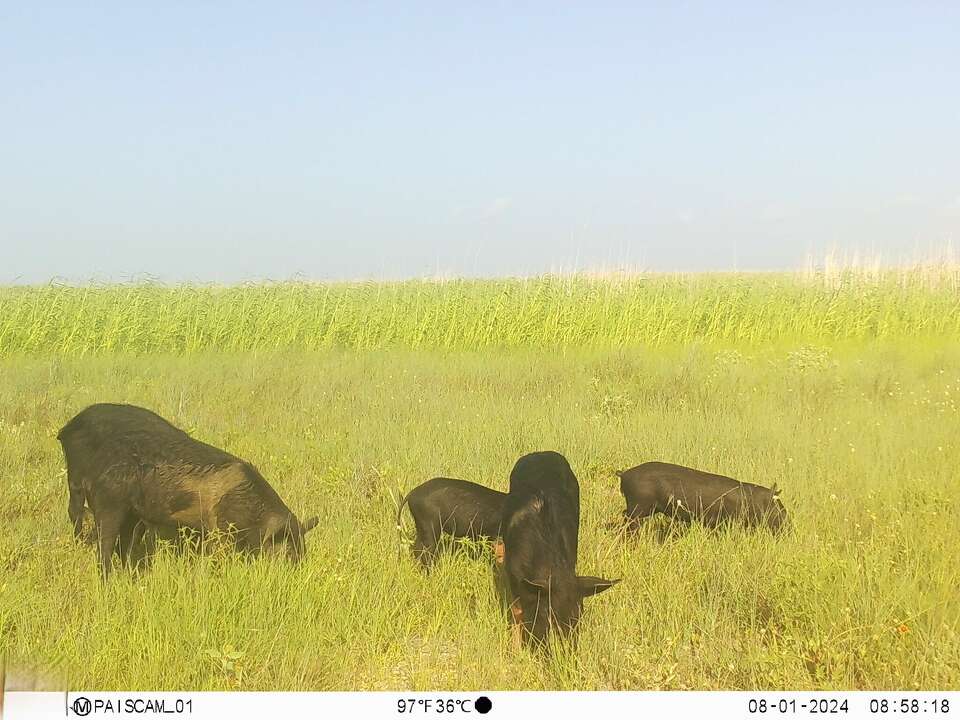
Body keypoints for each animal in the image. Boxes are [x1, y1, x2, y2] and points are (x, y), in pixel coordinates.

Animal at [57, 403, 318, 579]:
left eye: (303, 549)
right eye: (288, 551)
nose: (297, 573)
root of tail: (67, 428)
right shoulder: (219, 529)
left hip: (131, 513)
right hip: (103, 500)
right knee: (97, 537)